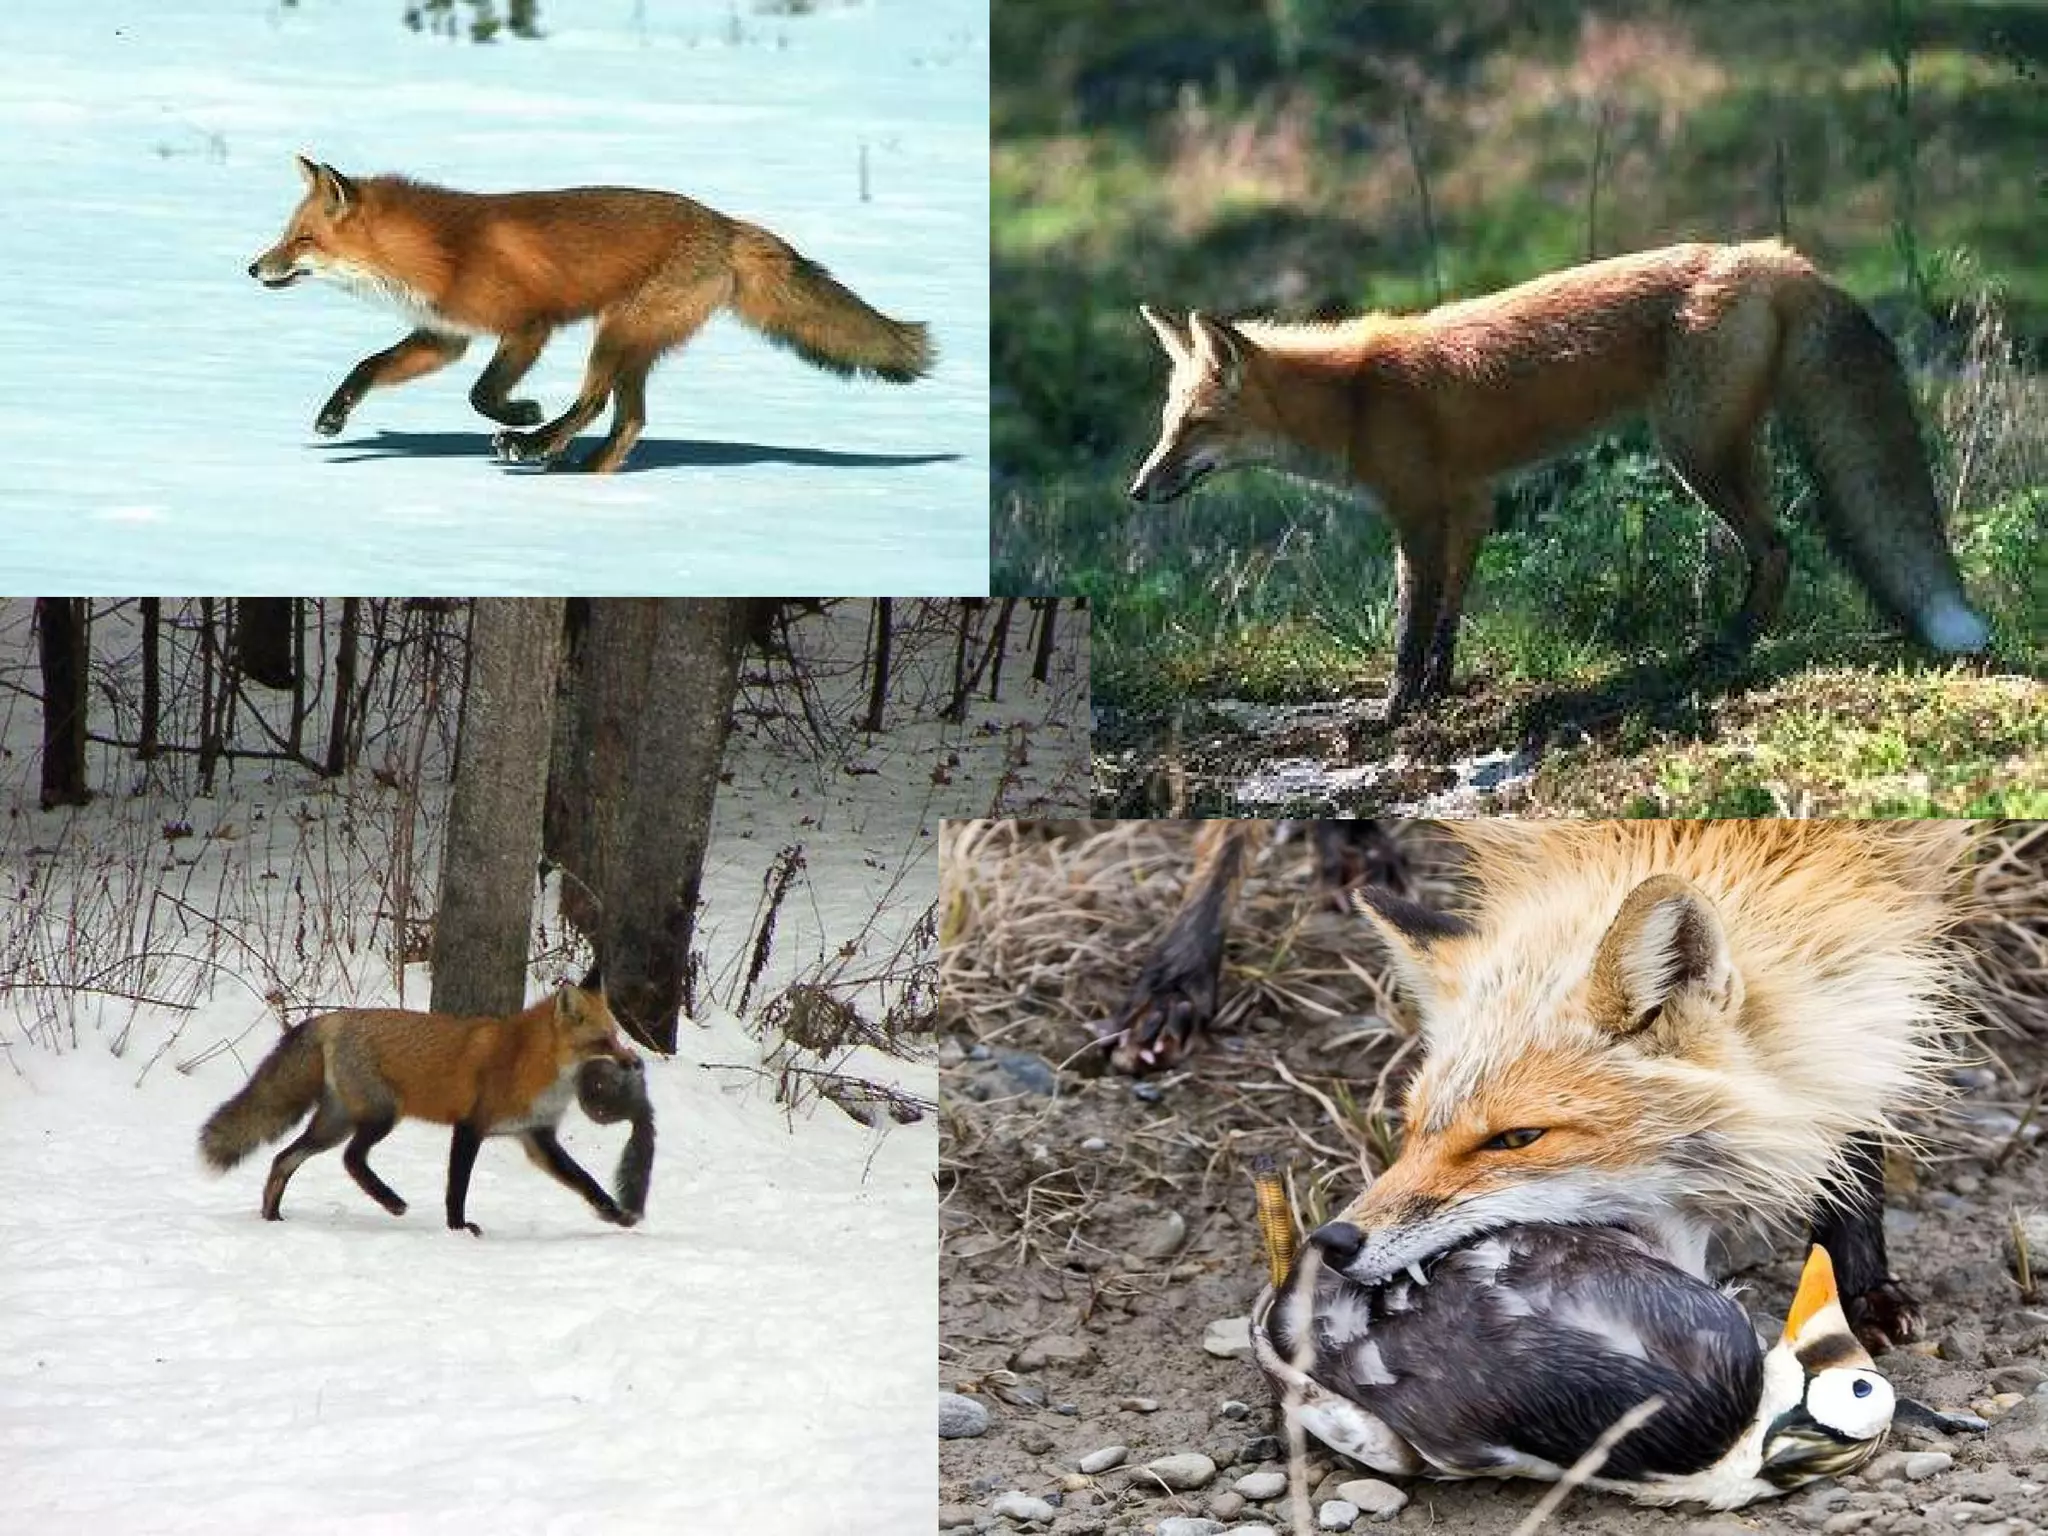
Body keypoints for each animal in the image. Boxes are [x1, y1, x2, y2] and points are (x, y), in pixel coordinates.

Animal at [198, 968, 643, 1234]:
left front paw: (616, 1214)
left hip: (334, 1125)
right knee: (350, 1159)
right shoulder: (471, 1127)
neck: (532, 1064)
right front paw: (459, 1229)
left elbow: (586, 1181)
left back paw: (272, 1217)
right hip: (381, 1115)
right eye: (603, 1042)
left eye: (617, 1035)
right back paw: (391, 1201)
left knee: (284, 1159)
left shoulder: (538, 1138)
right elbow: (456, 1189)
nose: (636, 1062)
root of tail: (331, 1018)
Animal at [249, 155, 933, 474]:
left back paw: (534, 444)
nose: (253, 269)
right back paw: (586, 479)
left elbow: (481, 394)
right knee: (630, 420)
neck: (443, 249)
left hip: (616, 333)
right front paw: (334, 416)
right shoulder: (445, 337)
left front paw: (522, 414)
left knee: (594, 404)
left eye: (302, 241)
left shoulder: (528, 326)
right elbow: (365, 367)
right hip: (632, 343)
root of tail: (726, 224)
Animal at [1131, 241, 1991, 717]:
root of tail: (1771, 255)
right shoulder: (1473, 501)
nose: (1138, 490)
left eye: (1195, 427)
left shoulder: (1418, 514)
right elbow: (1449, 615)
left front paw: (1394, 710)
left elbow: (1411, 623)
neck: (1354, 399)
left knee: (1778, 548)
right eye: (1167, 426)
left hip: (1694, 453)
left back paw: (1729, 646)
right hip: (1714, 450)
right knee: (1778, 546)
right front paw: (1441, 690)